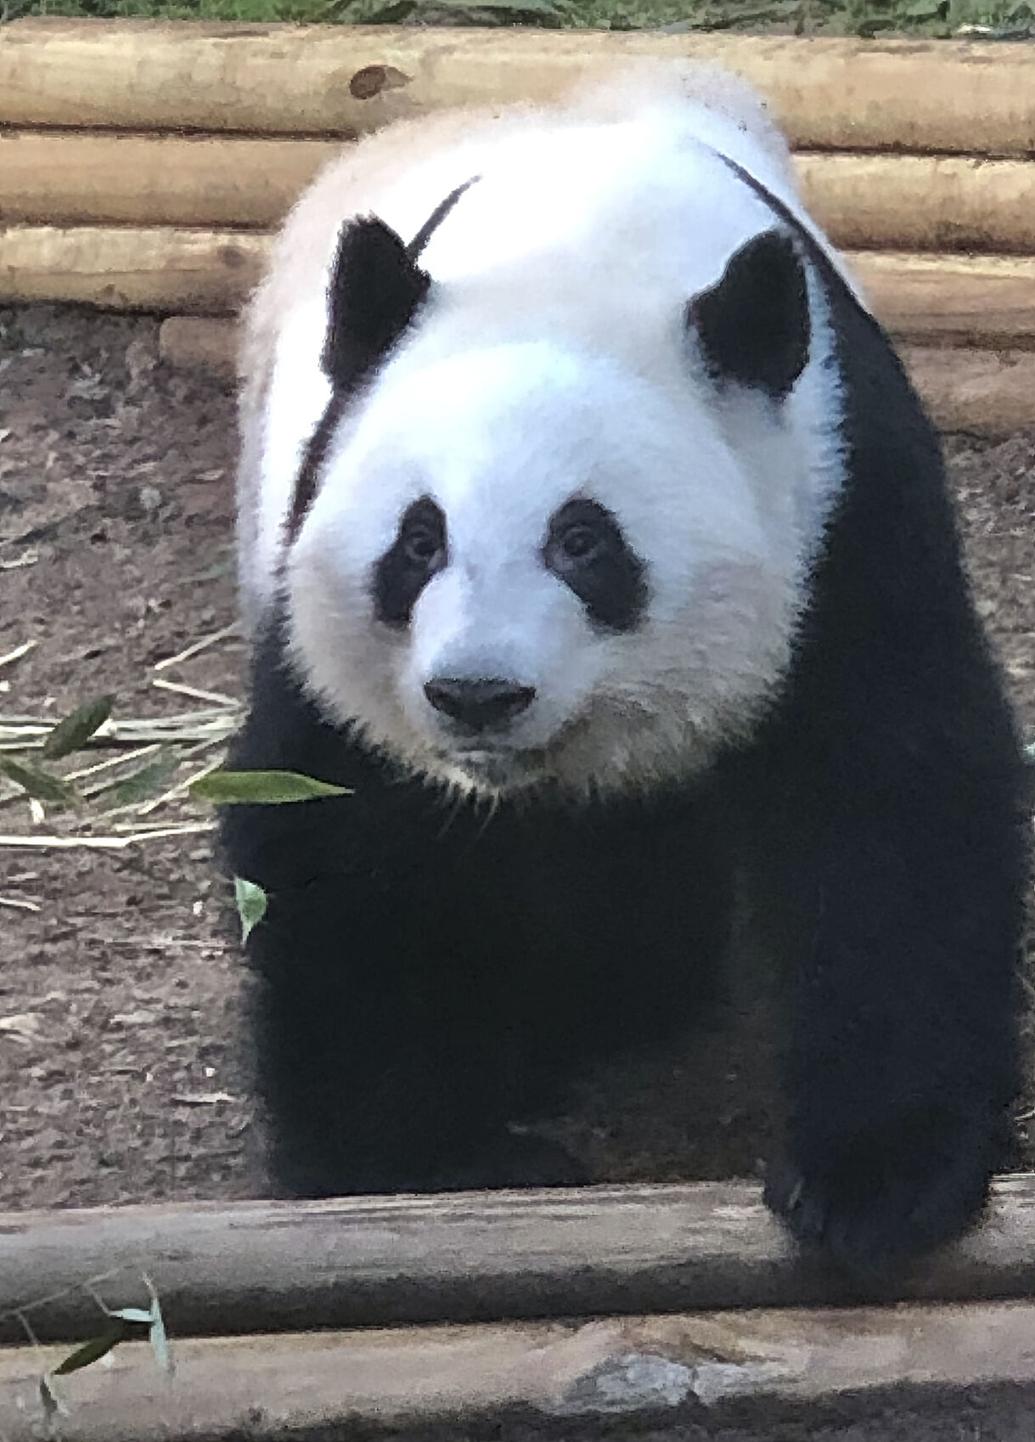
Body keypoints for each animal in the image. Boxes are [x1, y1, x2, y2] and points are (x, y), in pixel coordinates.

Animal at [221, 61, 1030, 1272]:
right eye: (419, 540)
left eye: (583, 542)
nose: (477, 695)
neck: (580, 255)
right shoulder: (322, 548)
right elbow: (341, 833)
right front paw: (423, 1163)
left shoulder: (841, 511)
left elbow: (890, 805)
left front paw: (871, 1182)